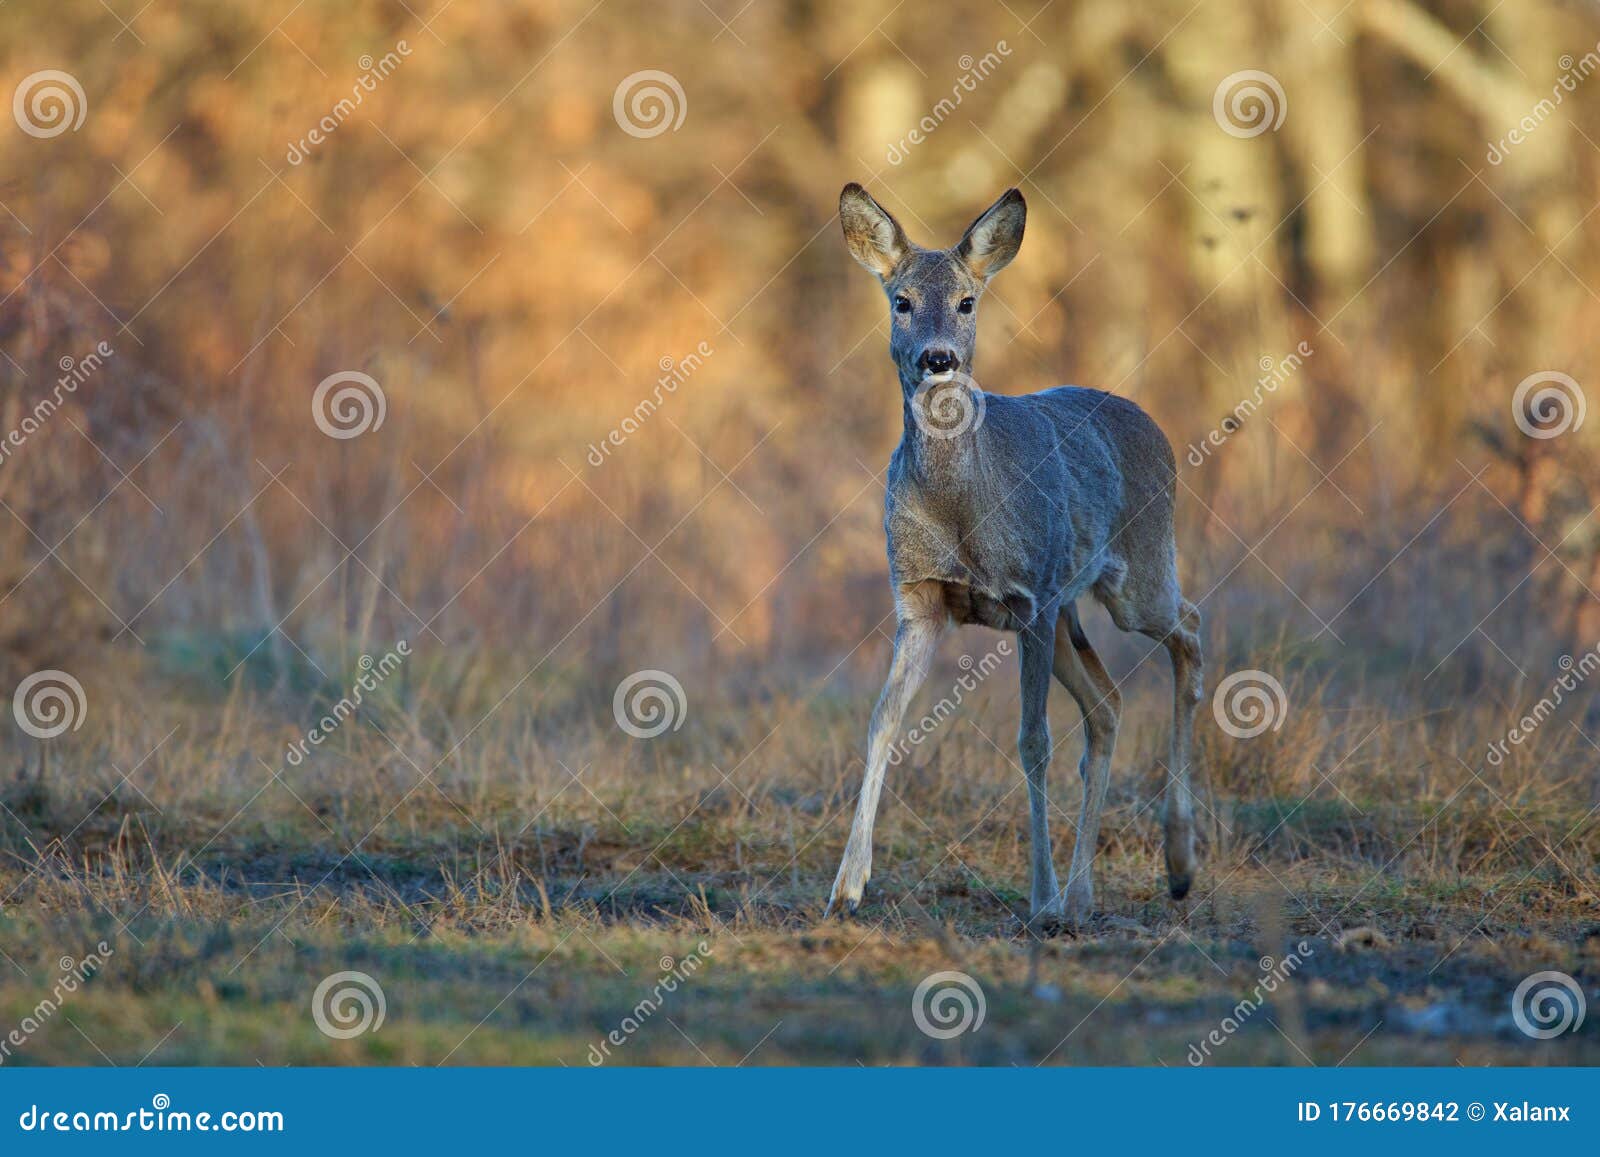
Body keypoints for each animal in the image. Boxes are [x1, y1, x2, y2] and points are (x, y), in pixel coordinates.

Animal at [825, 183, 1204, 931]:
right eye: (901, 299)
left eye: (968, 301)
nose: (939, 359)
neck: (961, 509)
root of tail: (1155, 427)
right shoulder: (920, 599)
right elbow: (883, 720)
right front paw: (848, 885)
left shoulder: (1031, 596)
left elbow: (1033, 740)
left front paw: (1041, 897)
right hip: (1069, 612)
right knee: (1108, 701)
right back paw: (1088, 895)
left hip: (1132, 575)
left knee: (1190, 631)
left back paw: (1174, 866)